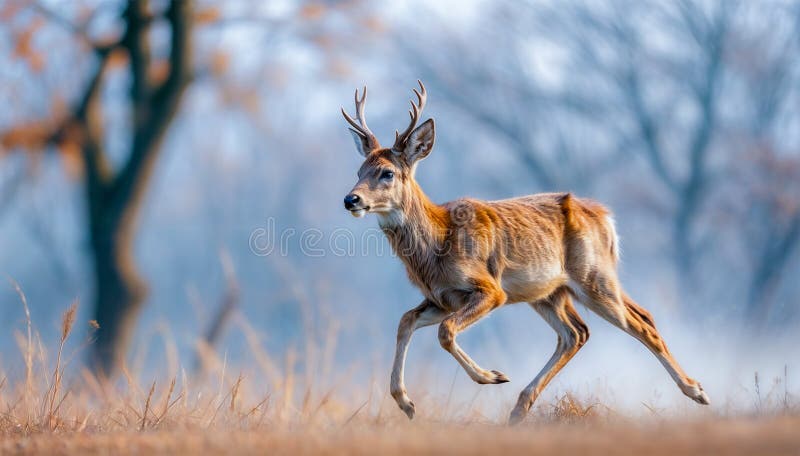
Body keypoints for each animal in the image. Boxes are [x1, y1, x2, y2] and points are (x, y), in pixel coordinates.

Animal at [341, 81, 710, 424]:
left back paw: (697, 391)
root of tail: (606, 217)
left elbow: (446, 332)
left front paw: (492, 376)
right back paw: (519, 408)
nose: (351, 199)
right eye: (359, 171)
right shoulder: (442, 297)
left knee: (639, 323)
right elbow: (406, 320)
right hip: (549, 292)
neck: (437, 244)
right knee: (578, 333)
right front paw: (407, 404)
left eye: (387, 173)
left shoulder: (490, 289)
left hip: (593, 277)